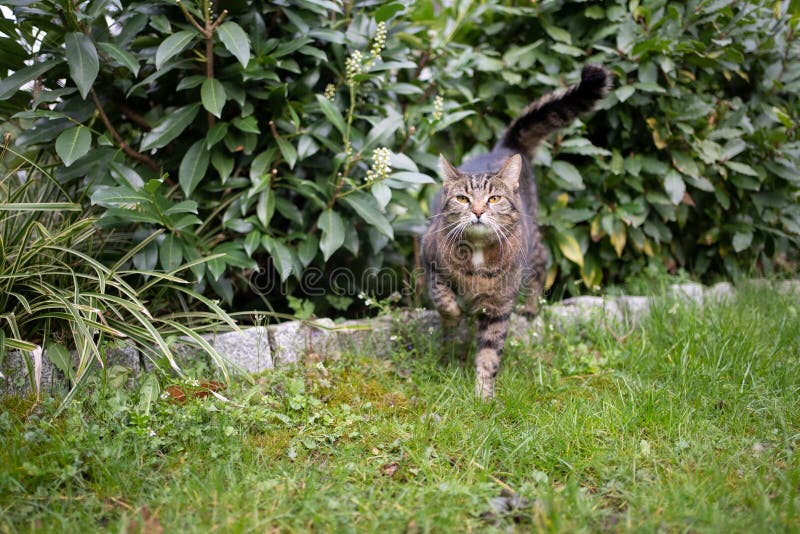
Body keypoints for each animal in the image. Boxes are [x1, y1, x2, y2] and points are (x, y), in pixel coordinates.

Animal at [422, 65, 608, 400]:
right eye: (462, 199)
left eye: (494, 199)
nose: (478, 211)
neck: (477, 257)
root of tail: (506, 146)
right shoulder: (428, 255)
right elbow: (443, 297)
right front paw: (454, 317)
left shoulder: (499, 306)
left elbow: (489, 353)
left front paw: (483, 395)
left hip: (531, 245)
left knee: (542, 263)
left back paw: (531, 308)